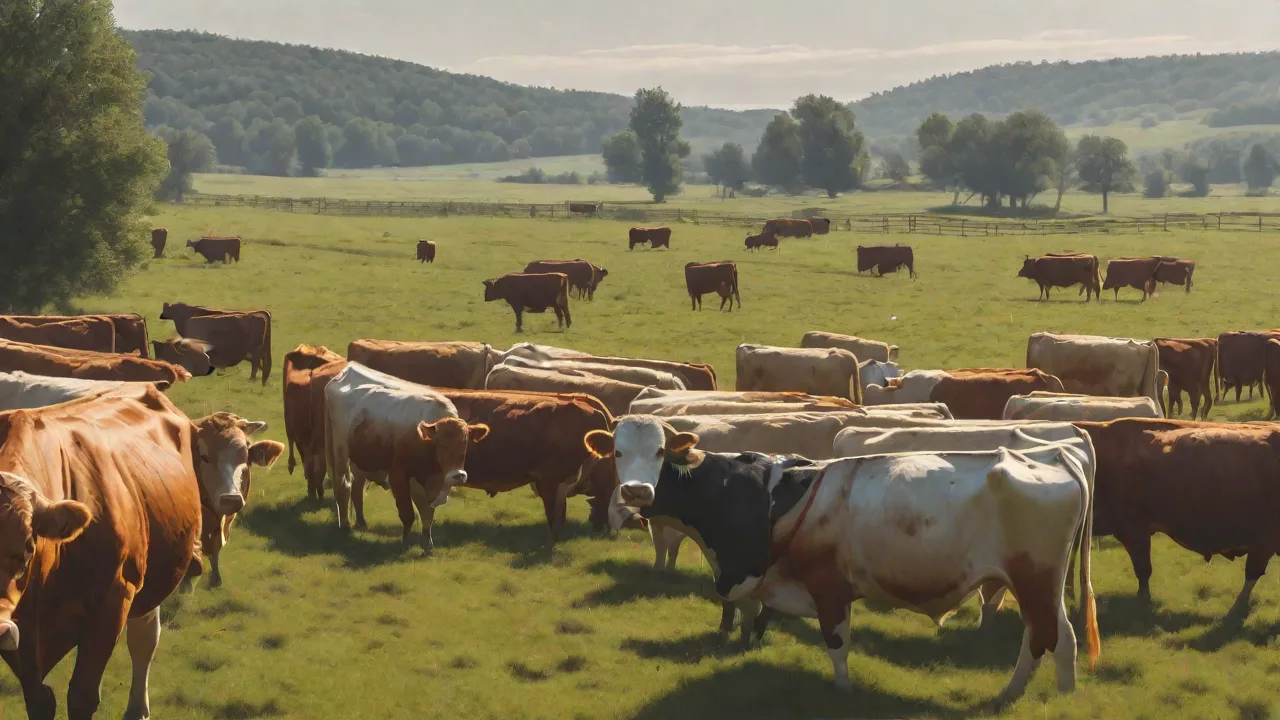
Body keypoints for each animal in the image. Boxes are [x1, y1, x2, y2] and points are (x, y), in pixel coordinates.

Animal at [0, 388, 203, 720]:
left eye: (29, 547)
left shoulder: (114, 599)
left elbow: (81, 696)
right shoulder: (20, 628)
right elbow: (39, 698)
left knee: (144, 642)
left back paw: (137, 708)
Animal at [324, 362, 486, 547]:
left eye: (465, 444)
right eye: (441, 444)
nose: (457, 475)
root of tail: (347, 369)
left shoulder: (429, 482)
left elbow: (427, 513)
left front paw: (427, 542)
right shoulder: (398, 475)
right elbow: (408, 512)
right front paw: (407, 540)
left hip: (362, 460)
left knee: (357, 488)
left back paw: (361, 522)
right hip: (339, 453)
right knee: (343, 486)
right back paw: (345, 524)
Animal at [586, 416, 1097, 701]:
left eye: (659, 451)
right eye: (616, 451)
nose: (636, 491)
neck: (759, 496)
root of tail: (1054, 454)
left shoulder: (827, 585)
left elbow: (836, 643)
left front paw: (844, 691)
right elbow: (752, 615)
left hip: (1033, 580)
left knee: (1044, 639)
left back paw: (1013, 695)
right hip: (1042, 585)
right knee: (1060, 639)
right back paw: (1055, 694)